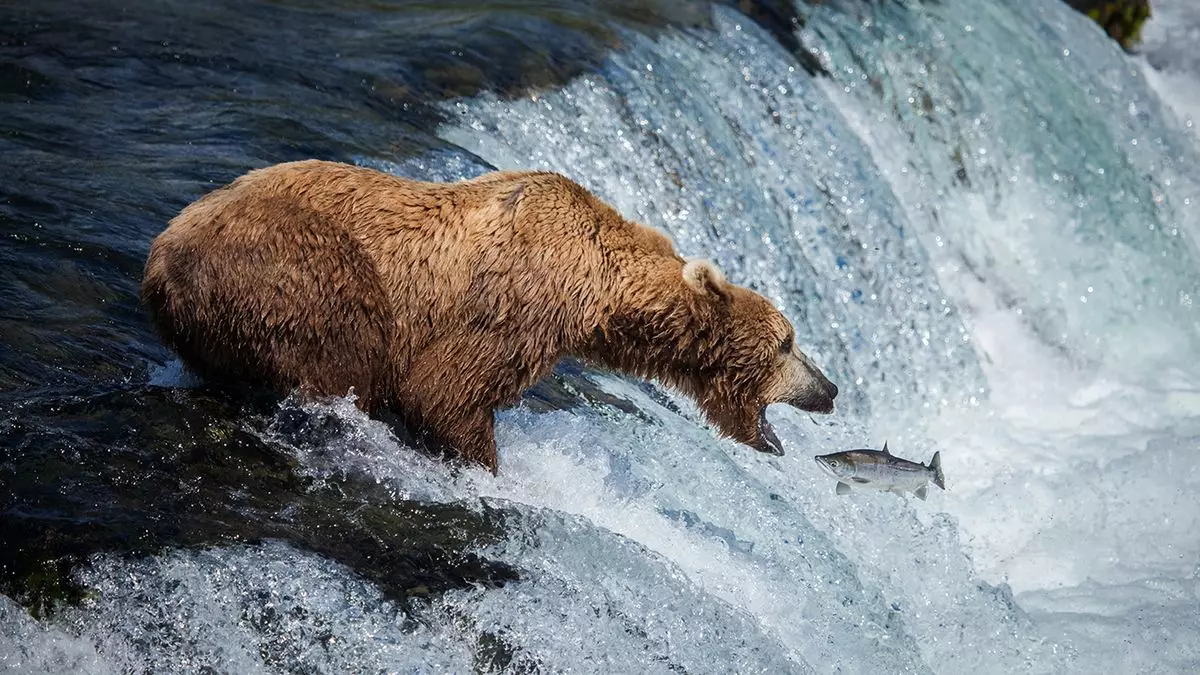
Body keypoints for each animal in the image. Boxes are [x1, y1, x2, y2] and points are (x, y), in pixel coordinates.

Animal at [142, 159, 835, 470]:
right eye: (788, 341)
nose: (829, 388)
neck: (598, 291)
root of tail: (159, 258)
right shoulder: (515, 305)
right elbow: (445, 390)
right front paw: (485, 464)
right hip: (294, 268)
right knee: (344, 352)